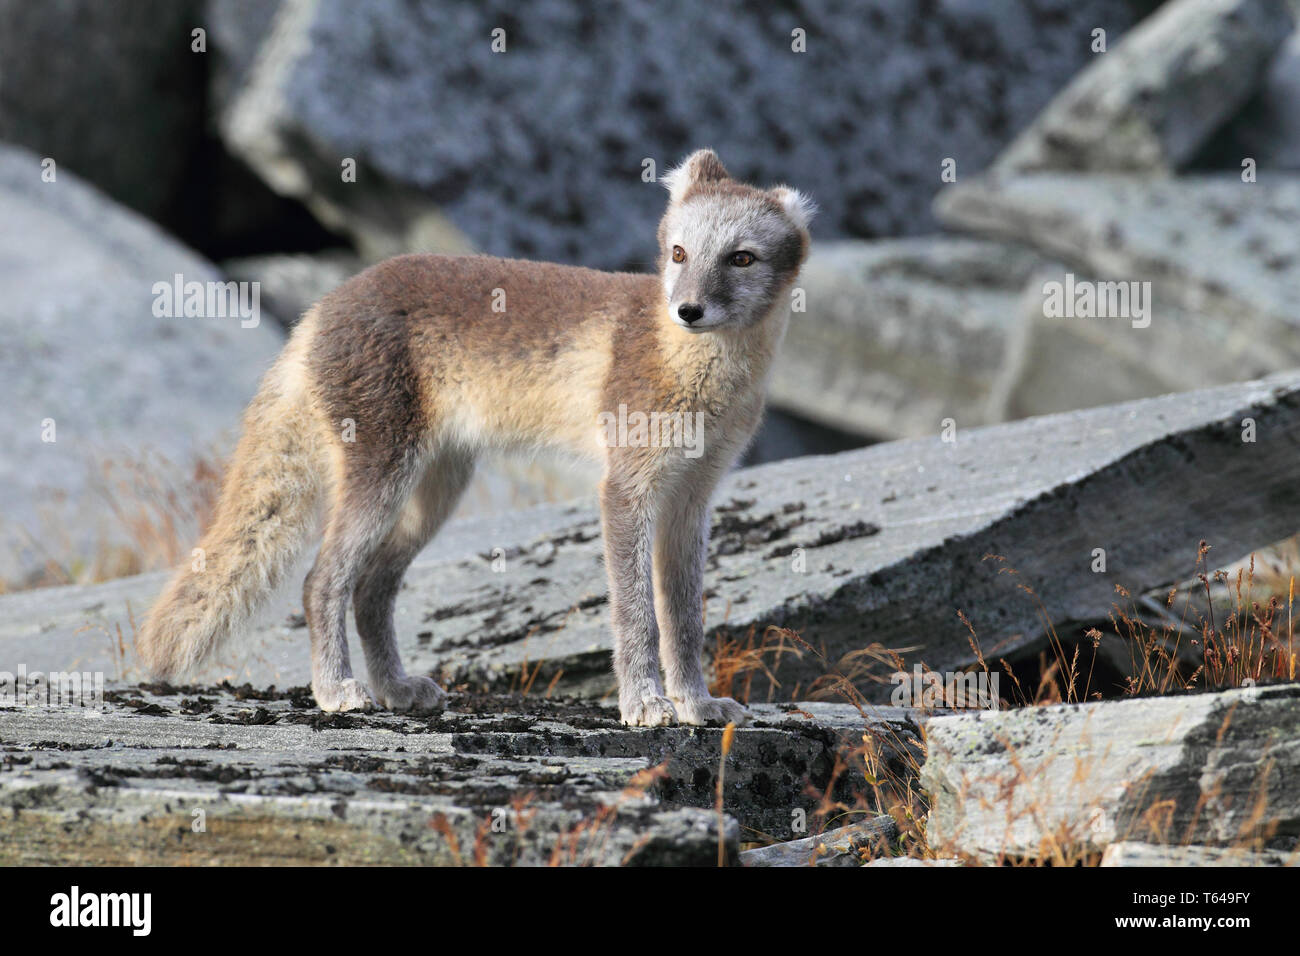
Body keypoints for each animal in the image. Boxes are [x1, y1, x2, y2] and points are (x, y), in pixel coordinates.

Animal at [137, 149, 814, 726]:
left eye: (741, 258)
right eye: (678, 253)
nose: (688, 310)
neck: (700, 376)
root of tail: (321, 307)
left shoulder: (692, 499)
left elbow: (684, 620)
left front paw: (697, 705)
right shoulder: (626, 487)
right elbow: (636, 615)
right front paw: (645, 704)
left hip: (438, 490)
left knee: (371, 587)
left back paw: (395, 689)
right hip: (383, 476)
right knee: (321, 581)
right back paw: (338, 691)